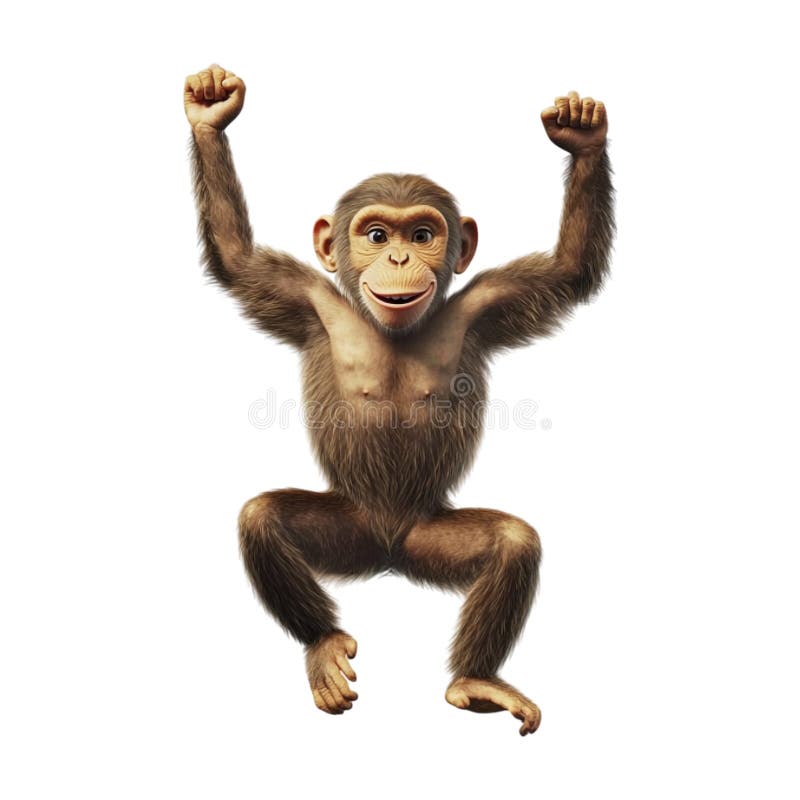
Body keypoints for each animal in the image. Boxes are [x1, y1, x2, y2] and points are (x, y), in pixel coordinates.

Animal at [185, 64, 613, 737]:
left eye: (423, 233)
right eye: (377, 233)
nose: (399, 255)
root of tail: (388, 553)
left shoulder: (490, 303)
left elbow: (568, 268)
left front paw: (582, 136)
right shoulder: (302, 298)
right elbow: (235, 253)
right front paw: (210, 112)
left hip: (429, 541)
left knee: (512, 542)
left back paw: (476, 680)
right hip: (347, 532)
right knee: (261, 519)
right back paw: (323, 644)